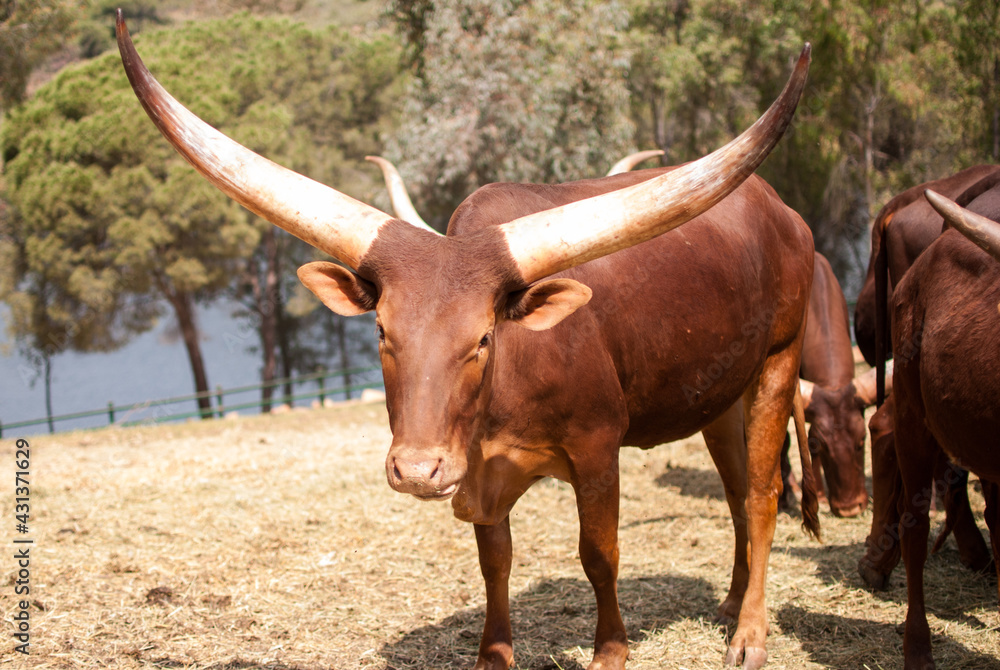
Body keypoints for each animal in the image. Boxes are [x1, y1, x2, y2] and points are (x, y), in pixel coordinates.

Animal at [116, 13, 817, 669]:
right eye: (381, 330)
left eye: (483, 337)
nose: (417, 470)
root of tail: (783, 212)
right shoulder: (479, 467)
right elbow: (494, 558)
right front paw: (493, 653)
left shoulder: (597, 447)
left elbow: (599, 553)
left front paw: (610, 650)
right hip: (719, 397)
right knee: (734, 490)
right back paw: (731, 601)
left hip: (777, 363)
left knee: (762, 495)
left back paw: (749, 634)